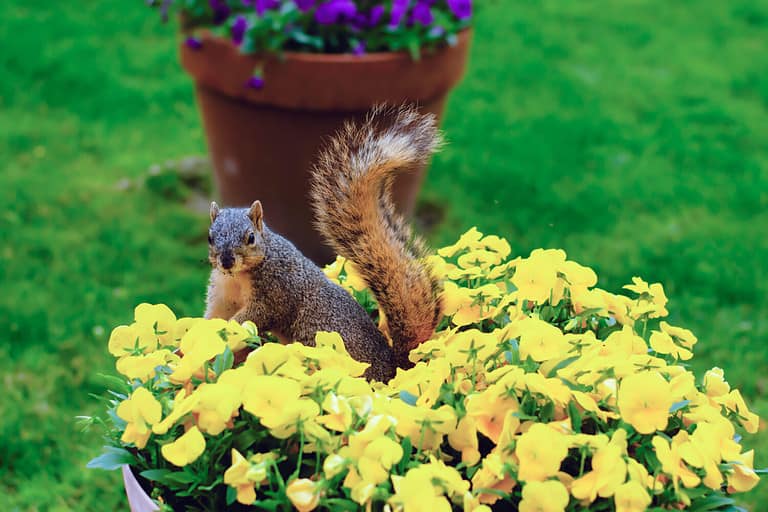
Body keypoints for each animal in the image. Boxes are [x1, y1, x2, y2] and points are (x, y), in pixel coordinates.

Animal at [204, 105, 443, 381]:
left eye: (250, 237)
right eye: (210, 237)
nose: (226, 261)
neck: (237, 276)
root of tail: (392, 369)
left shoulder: (276, 293)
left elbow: (255, 315)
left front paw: (228, 329)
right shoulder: (222, 296)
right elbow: (213, 316)